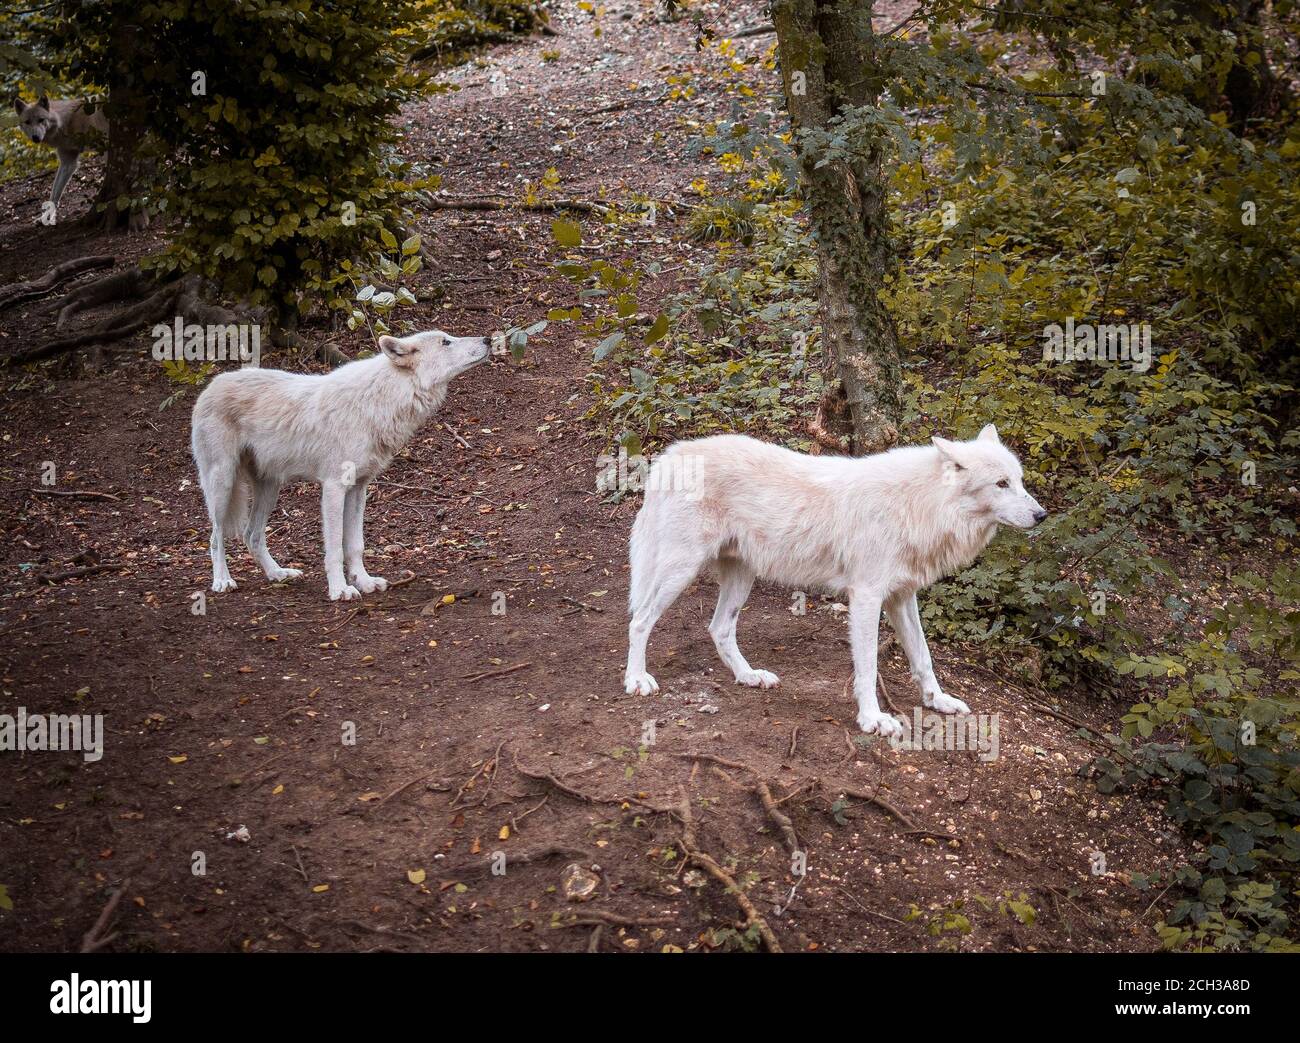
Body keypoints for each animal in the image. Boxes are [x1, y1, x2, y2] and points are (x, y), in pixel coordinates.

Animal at [191, 329, 490, 600]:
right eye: (446, 342)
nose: (487, 339)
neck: (380, 400)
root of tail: (212, 384)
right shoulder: (334, 487)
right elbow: (334, 547)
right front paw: (340, 590)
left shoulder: (359, 488)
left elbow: (355, 544)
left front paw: (364, 581)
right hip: (223, 483)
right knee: (215, 536)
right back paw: (222, 580)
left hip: (270, 487)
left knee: (251, 534)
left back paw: (277, 574)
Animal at [622, 425, 1046, 735]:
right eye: (1001, 484)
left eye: (1020, 481)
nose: (1042, 515)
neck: (920, 504)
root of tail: (674, 454)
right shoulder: (867, 597)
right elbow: (868, 668)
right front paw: (873, 720)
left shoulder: (902, 597)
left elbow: (923, 657)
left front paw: (937, 701)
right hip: (679, 572)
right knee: (639, 620)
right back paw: (637, 680)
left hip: (741, 578)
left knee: (719, 628)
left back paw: (748, 676)